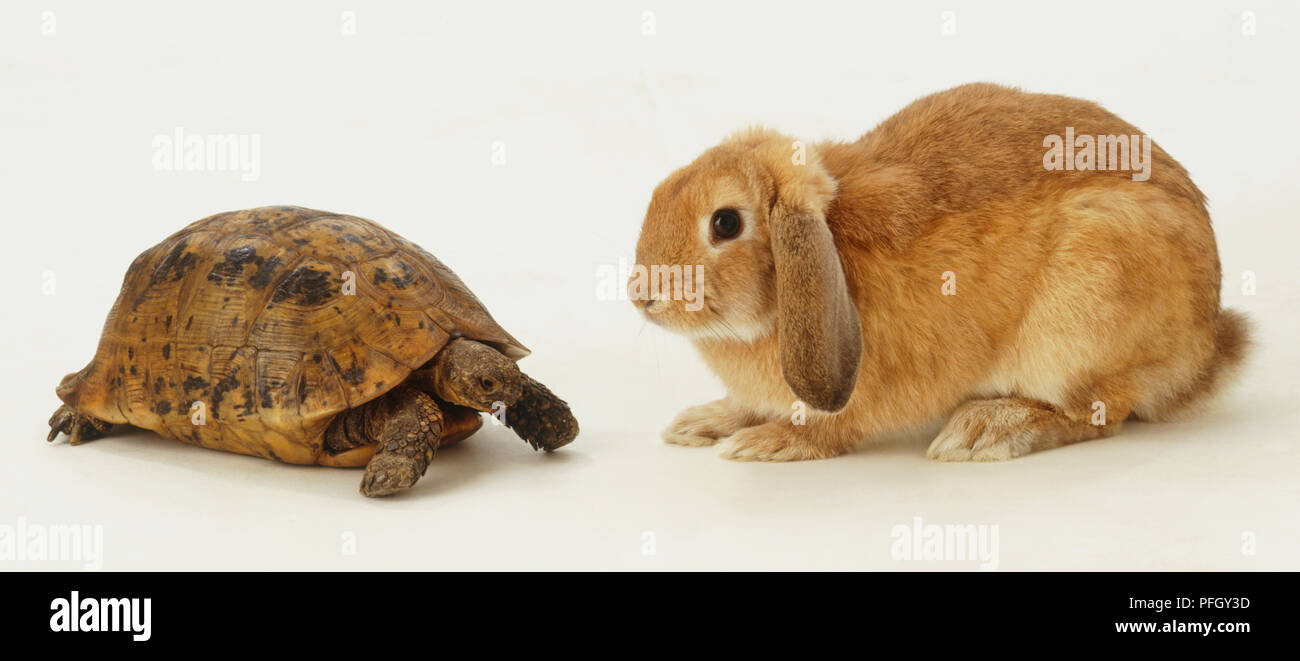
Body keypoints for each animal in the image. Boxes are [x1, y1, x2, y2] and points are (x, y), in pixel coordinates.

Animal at [629, 82, 1249, 462]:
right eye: (662, 188)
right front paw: (704, 422)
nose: (641, 294)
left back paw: (986, 431)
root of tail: (1206, 348)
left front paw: (768, 443)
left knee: (1098, 414)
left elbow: (831, 428)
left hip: (1079, 322)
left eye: (725, 223)